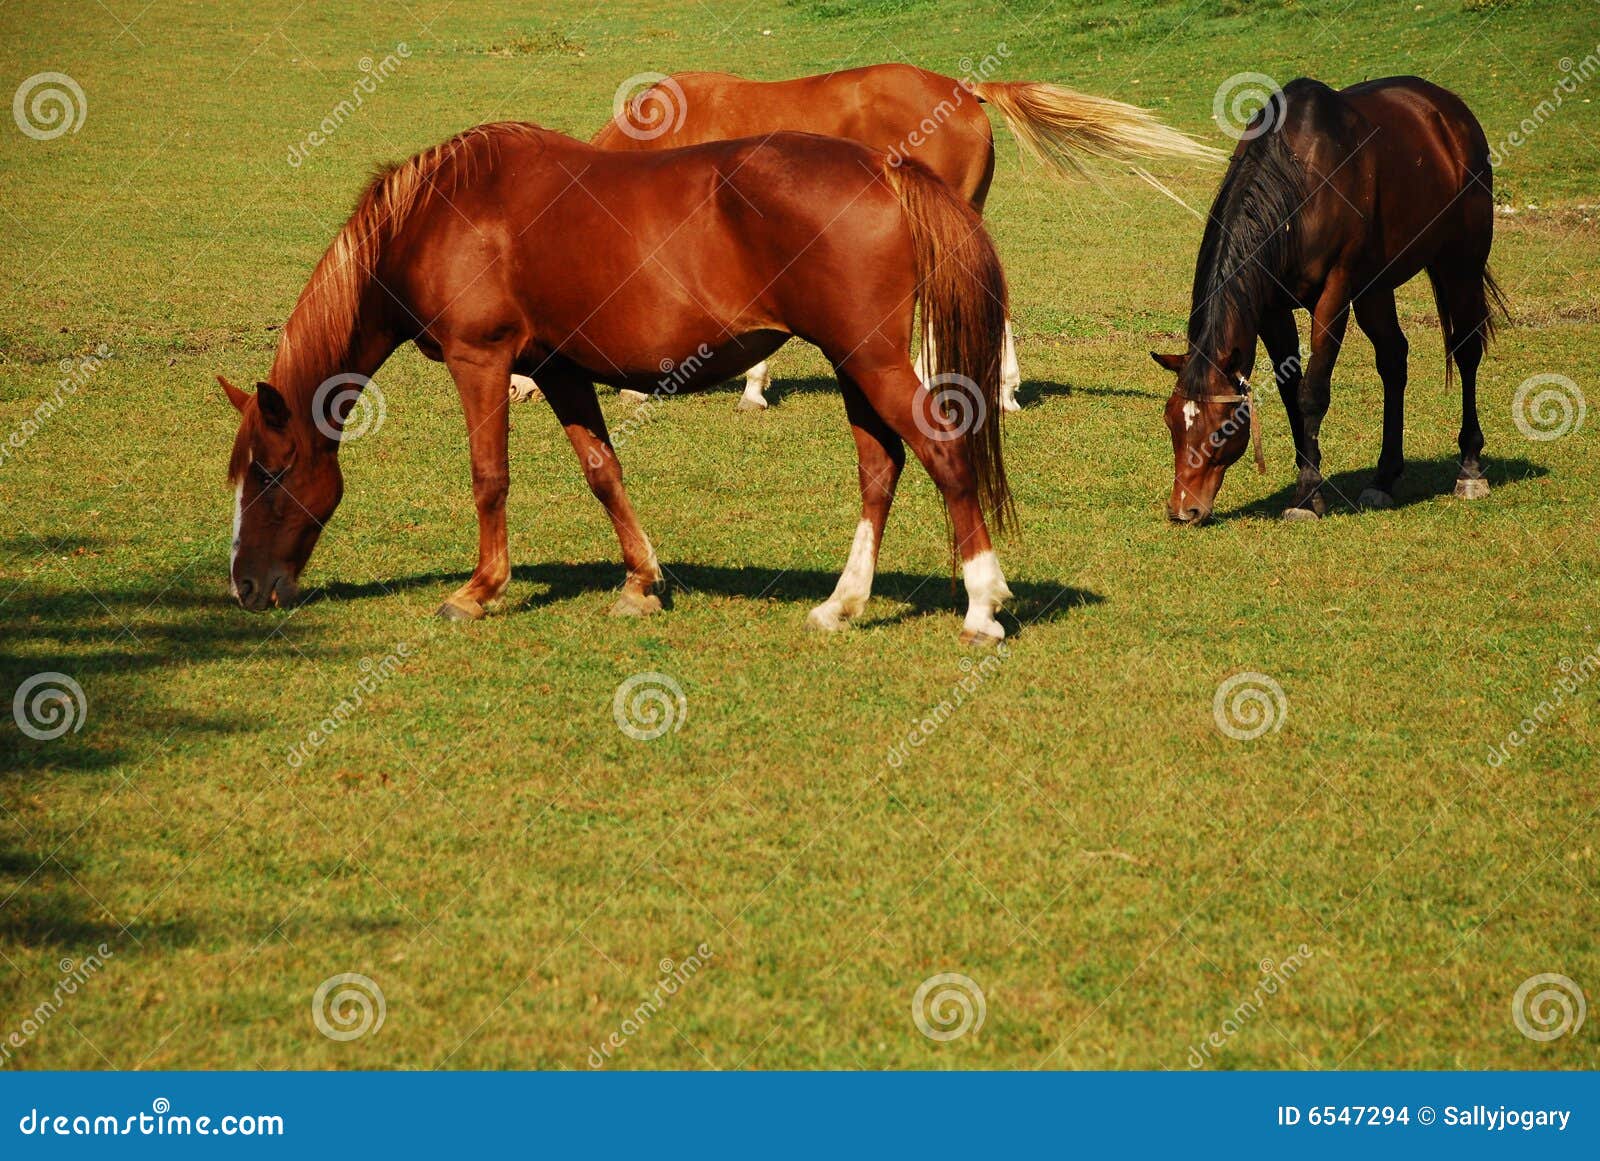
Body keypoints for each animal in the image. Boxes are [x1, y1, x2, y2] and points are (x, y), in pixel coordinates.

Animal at [222, 122, 1019, 644]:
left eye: (269, 473)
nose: (245, 587)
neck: (438, 211)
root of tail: (883, 165)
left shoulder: (479, 360)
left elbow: (489, 477)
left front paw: (478, 591)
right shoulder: (557, 369)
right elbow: (603, 471)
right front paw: (640, 583)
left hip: (869, 359)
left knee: (943, 454)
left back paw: (982, 605)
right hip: (855, 362)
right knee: (880, 468)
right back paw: (843, 603)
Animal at [1151, 76, 1507, 524]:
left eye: (1222, 429)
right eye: (1171, 422)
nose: (1183, 509)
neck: (1297, 182)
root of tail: (1450, 112)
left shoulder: (1334, 296)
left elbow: (1312, 393)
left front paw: (1305, 496)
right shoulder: (1272, 308)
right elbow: (1290, 392)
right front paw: (1310, 481)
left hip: (1460, 263)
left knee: (1466, 351)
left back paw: (1470, 468)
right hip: (1375, 287)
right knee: (1393, 358)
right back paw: (1384, 477)